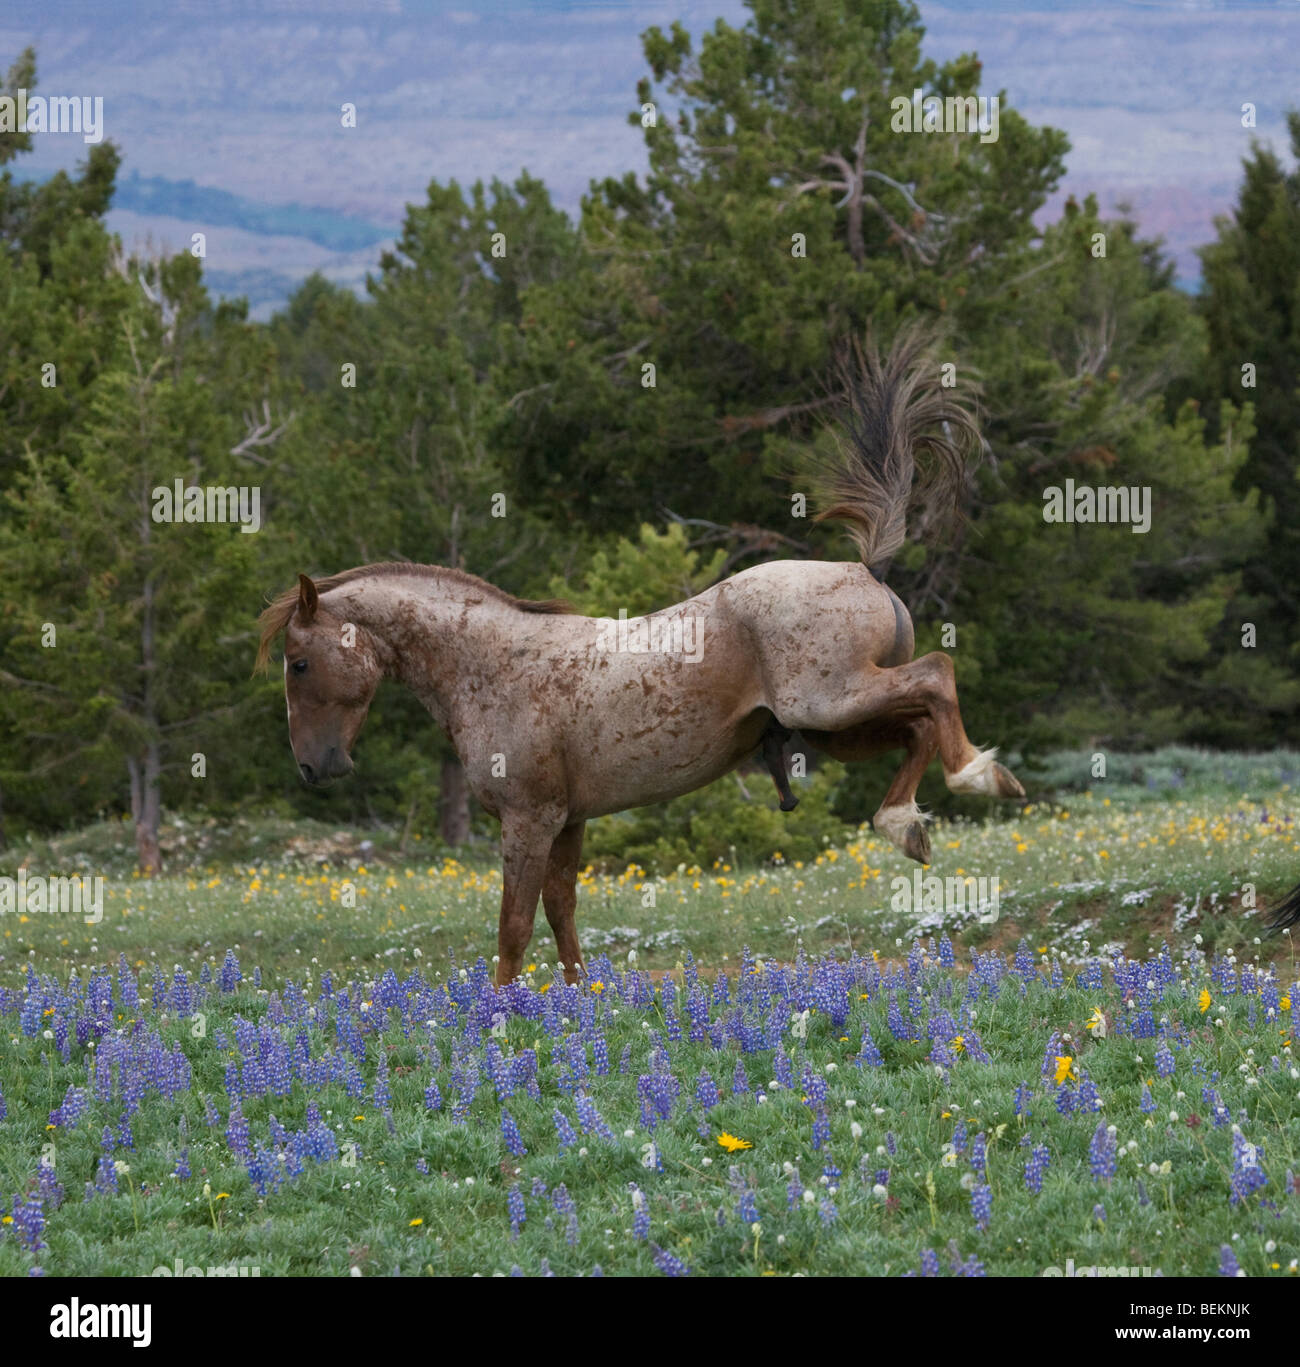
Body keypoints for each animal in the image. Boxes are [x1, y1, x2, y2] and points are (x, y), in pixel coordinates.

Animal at [255, 328, 1024, 986]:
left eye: (298, 663)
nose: (312, 765)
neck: (493, 667)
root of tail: (862, 569)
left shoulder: (529, 821)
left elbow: (513, 930)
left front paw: (498, 1019)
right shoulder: (567, 821)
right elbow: (561, 915)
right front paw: (579, 1003)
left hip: (832, 701)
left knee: (936, 679)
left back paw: (977, 776)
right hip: (839, 728)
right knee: (918, 725)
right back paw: (909, 823)